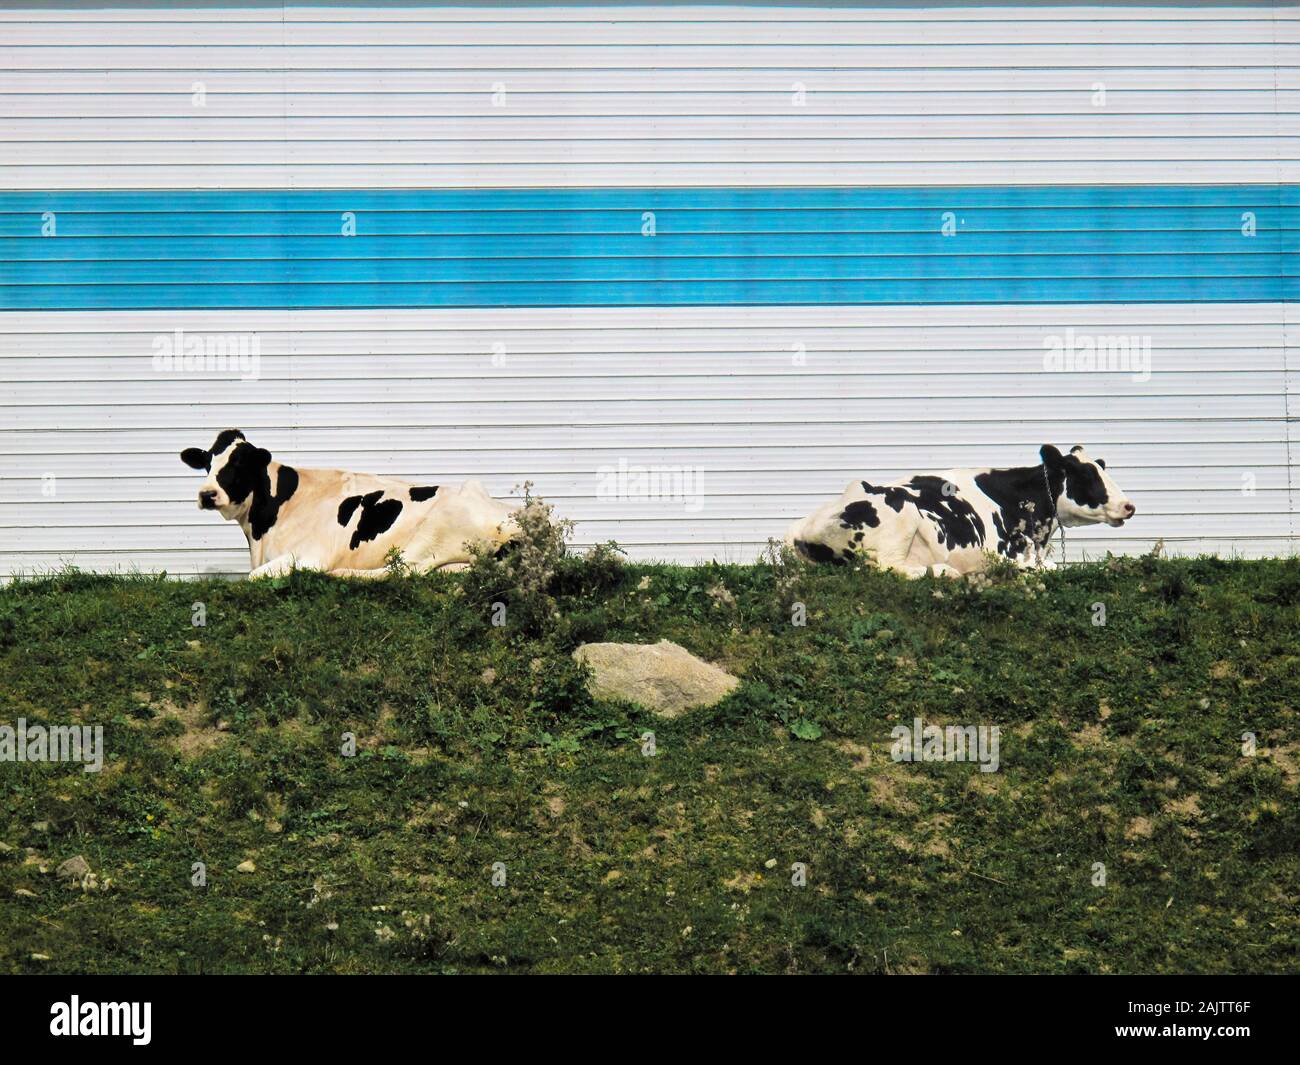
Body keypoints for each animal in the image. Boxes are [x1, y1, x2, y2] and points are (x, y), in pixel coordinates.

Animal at [180, 429, 519, 579]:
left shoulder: (311, 554)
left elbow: (253, 577)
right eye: (207, 463)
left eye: (239, 464)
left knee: (399, 572)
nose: (207, 494)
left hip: (433, 530)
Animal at [785, 445, 1135, 577]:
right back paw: (944, 571)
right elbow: (1050, 568)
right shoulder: (1006, 552)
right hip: (901, 515)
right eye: (1087, 475)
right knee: (889, 568)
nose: (1129, 506)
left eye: (1102, 469)